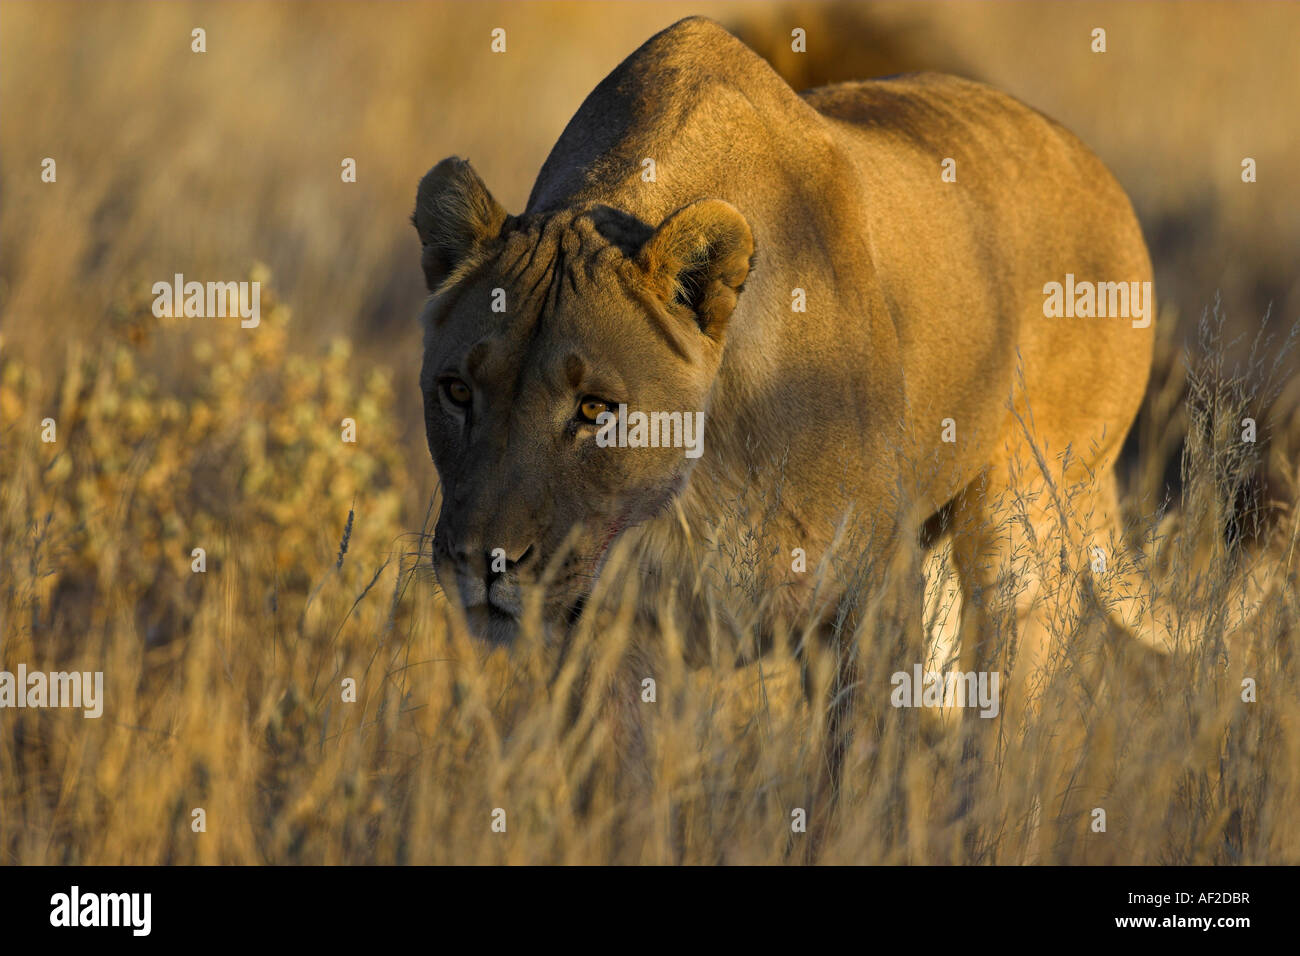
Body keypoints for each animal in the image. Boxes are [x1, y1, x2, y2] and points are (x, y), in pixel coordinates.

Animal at [412, 17, 1156, 799]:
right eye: (457, 391)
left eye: (595, 410)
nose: (483, 562)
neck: (694, 475)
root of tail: (1089, 160)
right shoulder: (603, 636)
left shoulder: (865, 604)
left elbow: (850, 788)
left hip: (1025, 529)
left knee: (1008, 724)